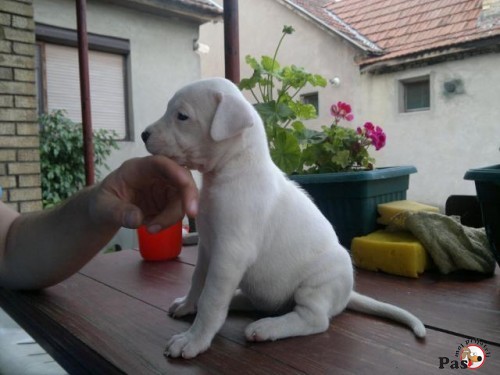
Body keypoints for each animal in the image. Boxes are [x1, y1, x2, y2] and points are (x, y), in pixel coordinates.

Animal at [142, 78, 426, 360]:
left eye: (182, 116)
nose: (144, 134)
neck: (234, 169)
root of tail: (346, 296)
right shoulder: (207, 248)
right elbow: (197, 281)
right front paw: (187, 305)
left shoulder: (229, 255)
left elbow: (211, 299)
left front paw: (193, 340)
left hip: (317, 282)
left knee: (314, 319)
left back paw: (266, 328)